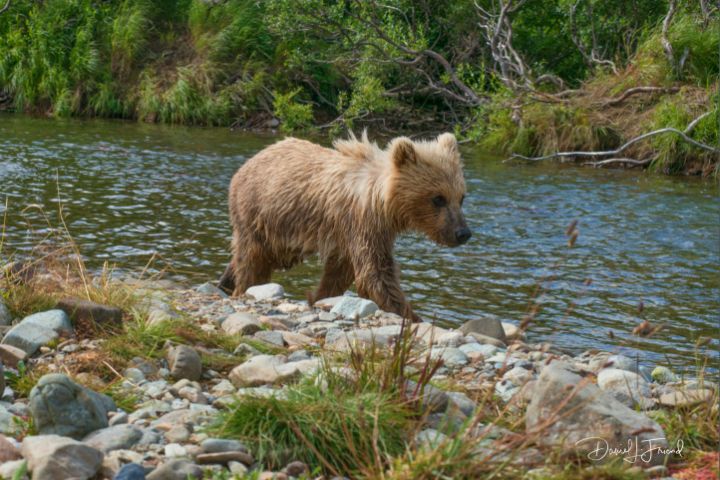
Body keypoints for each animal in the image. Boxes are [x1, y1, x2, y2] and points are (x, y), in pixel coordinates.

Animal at [218, 131, 471, 321]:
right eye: (438, 198)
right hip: (257, 213)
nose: (463, 233)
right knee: (252, 260)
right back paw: (242, 286)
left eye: (461, 197)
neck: (382, 202)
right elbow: (375, 274)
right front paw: (412, 316)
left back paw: (226, 281)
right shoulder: (361, 223)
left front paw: (319, 297)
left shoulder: (355, 234)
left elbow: (341, 271)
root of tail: (247, 163)